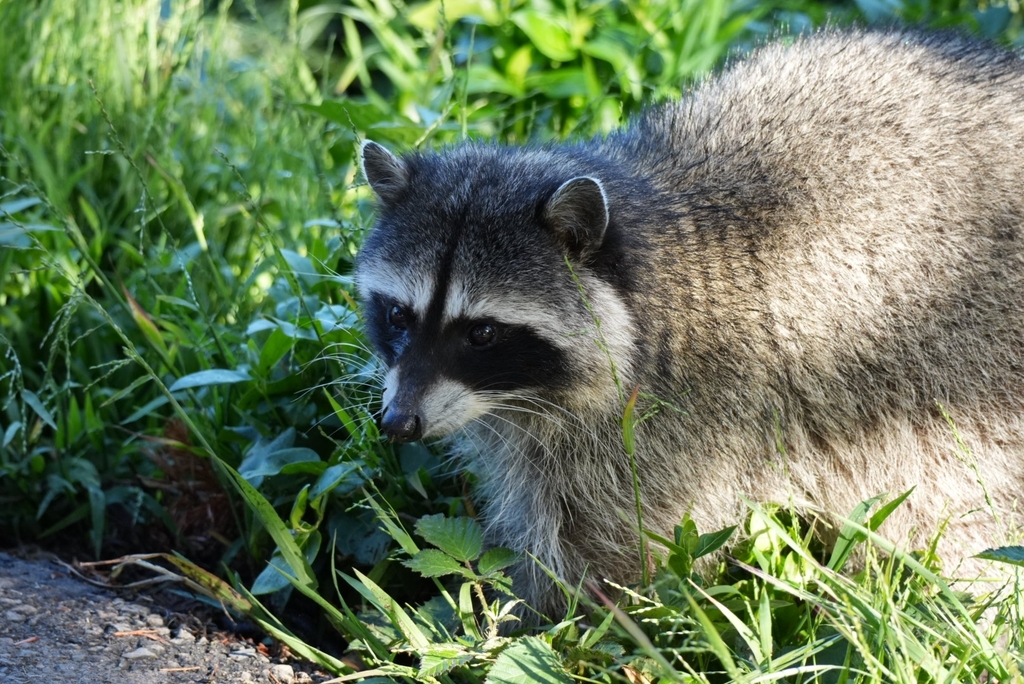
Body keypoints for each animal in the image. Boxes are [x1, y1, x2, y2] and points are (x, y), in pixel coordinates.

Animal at [355, 28, 1024, 617]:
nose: (398, 423)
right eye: (398, 315)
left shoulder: (681, 419)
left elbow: (621, 554)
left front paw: (534, 623)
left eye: (483, 333)